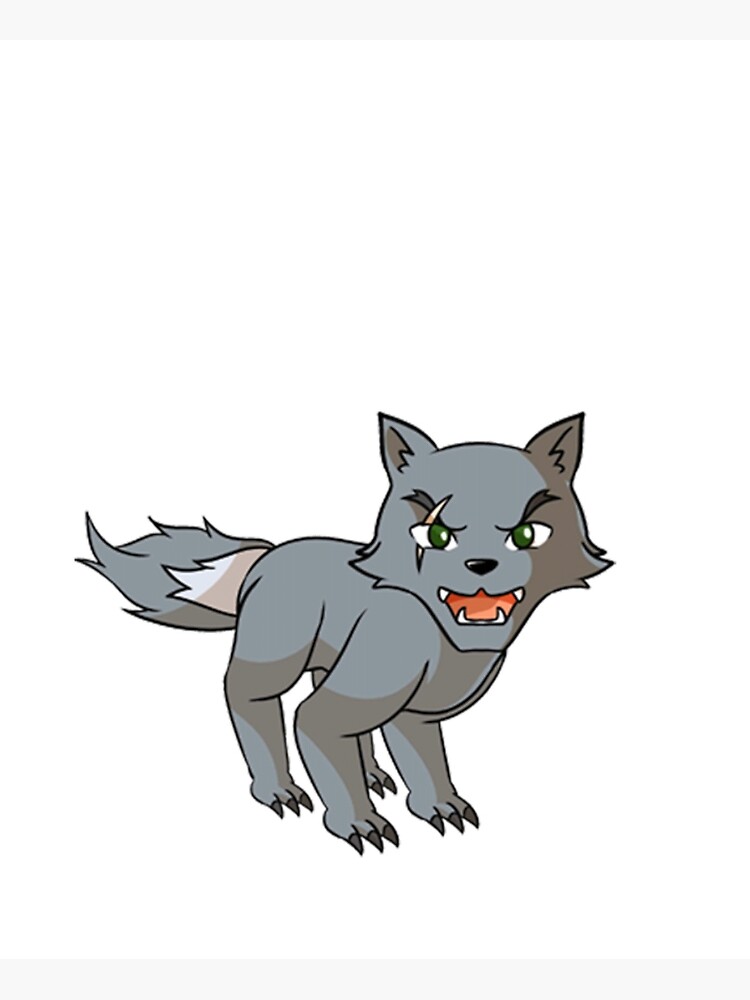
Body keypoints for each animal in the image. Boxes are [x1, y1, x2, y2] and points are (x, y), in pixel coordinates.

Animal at [79, 413, 611, 853]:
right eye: (435, 536)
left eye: (527, 535)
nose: (481, 565)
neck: (447, 647)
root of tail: (269, 554)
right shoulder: (356, 697)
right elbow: (318, 732)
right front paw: (359, 824)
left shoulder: (412, 711)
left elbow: (427, 762)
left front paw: (438, 806)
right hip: (275, 661)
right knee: (249, 698)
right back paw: (278, 791)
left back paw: (373, 773)